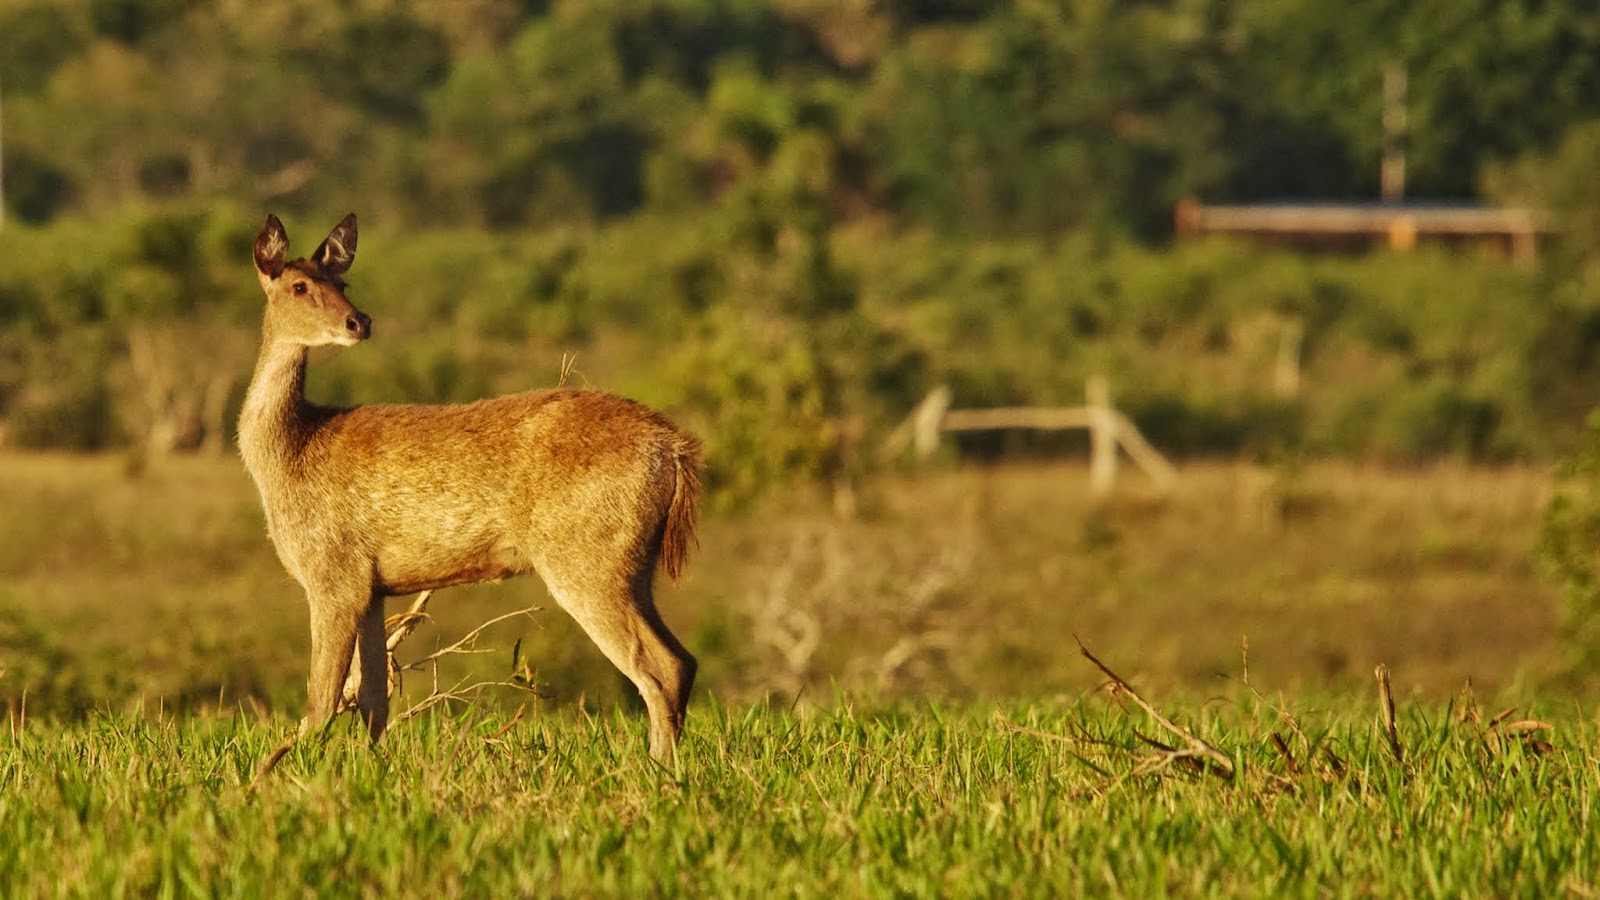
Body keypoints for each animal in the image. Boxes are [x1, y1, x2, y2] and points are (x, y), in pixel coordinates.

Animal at [239, 213, 701, 764]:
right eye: (299, 285)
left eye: (341, 283)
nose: (359, 322)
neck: (292, 450)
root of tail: (675, 449)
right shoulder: (373, 588)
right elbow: (373, 703)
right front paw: (374, 768)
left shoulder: (334, 574)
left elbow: (321, 703)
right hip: (636, 565)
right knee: (683, 660)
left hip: (587, 558)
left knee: (657, 667)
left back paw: (659, 770)